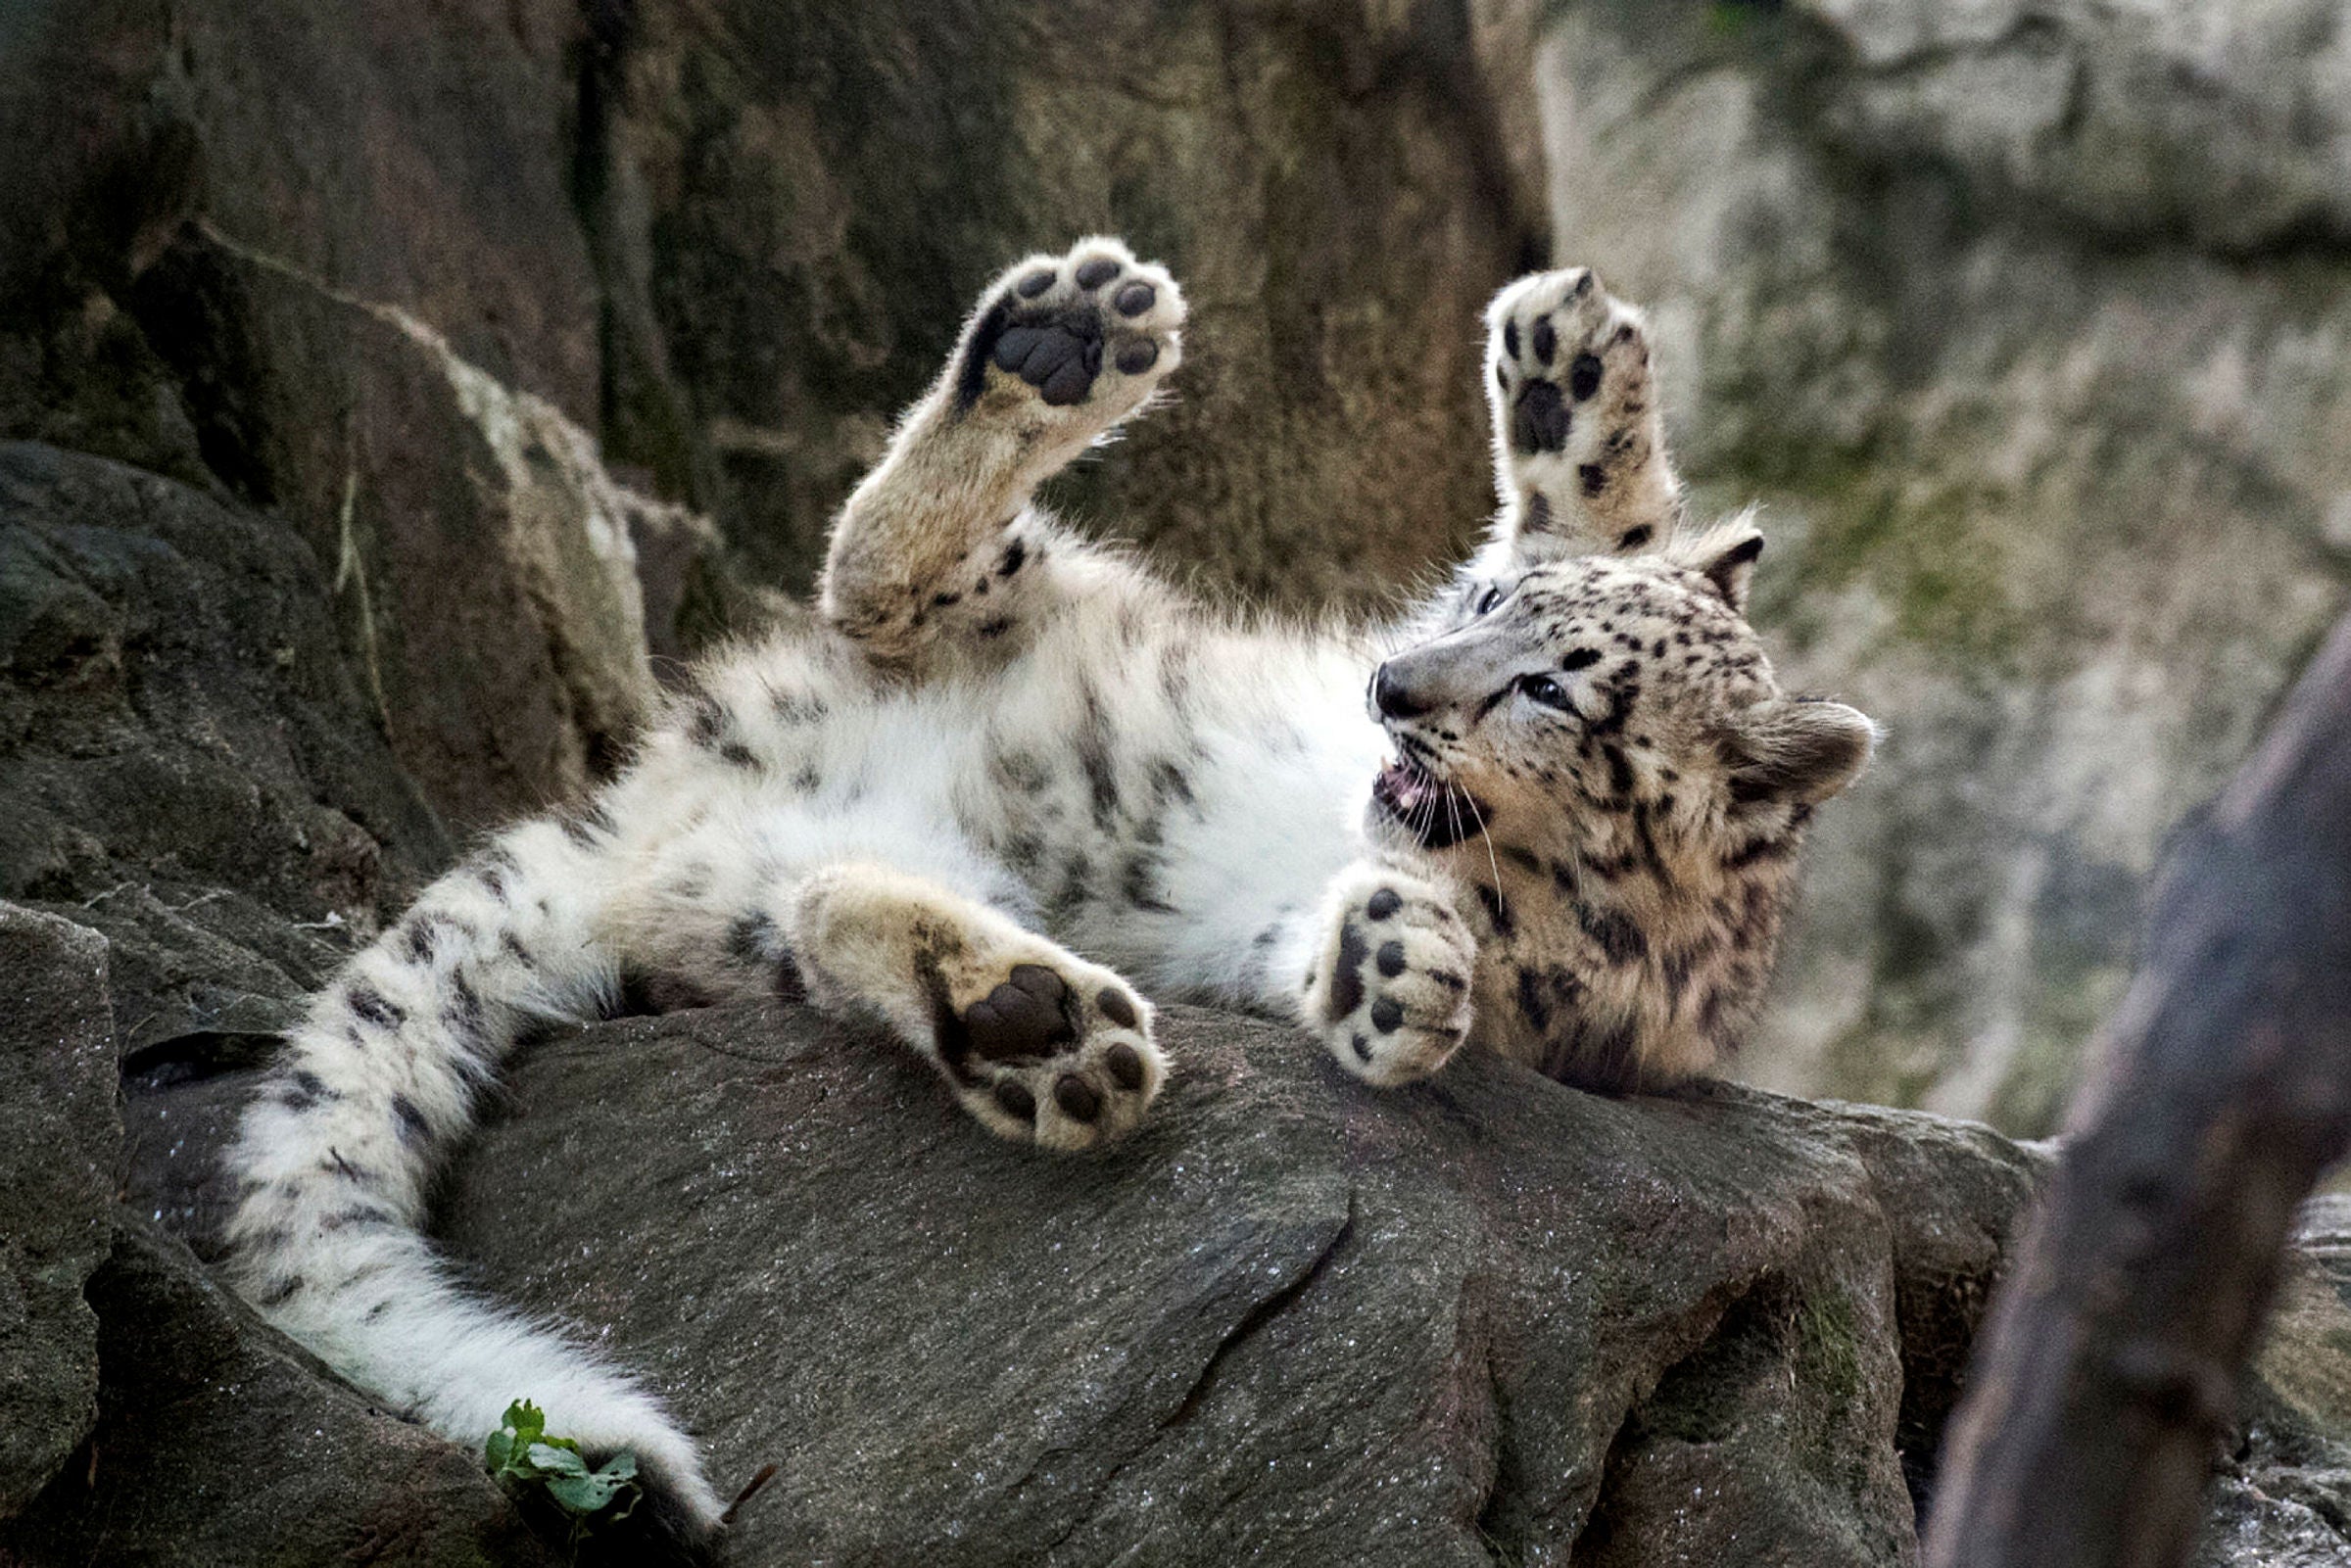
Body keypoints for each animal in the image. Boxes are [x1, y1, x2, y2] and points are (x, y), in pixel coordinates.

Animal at [223, 237, 1875, 1547]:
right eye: (1478, 603)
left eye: (1550, 688)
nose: (1394, 686)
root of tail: (673, 785)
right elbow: (1625, 528)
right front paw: (1568, 371)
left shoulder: (1554, 1000)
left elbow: (1406, 959)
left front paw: (1389, 969)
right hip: (1026, 607)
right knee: (876, 571)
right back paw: (1056, 348)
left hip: (775, 893)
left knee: (830, 897)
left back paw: (1032, 1025)